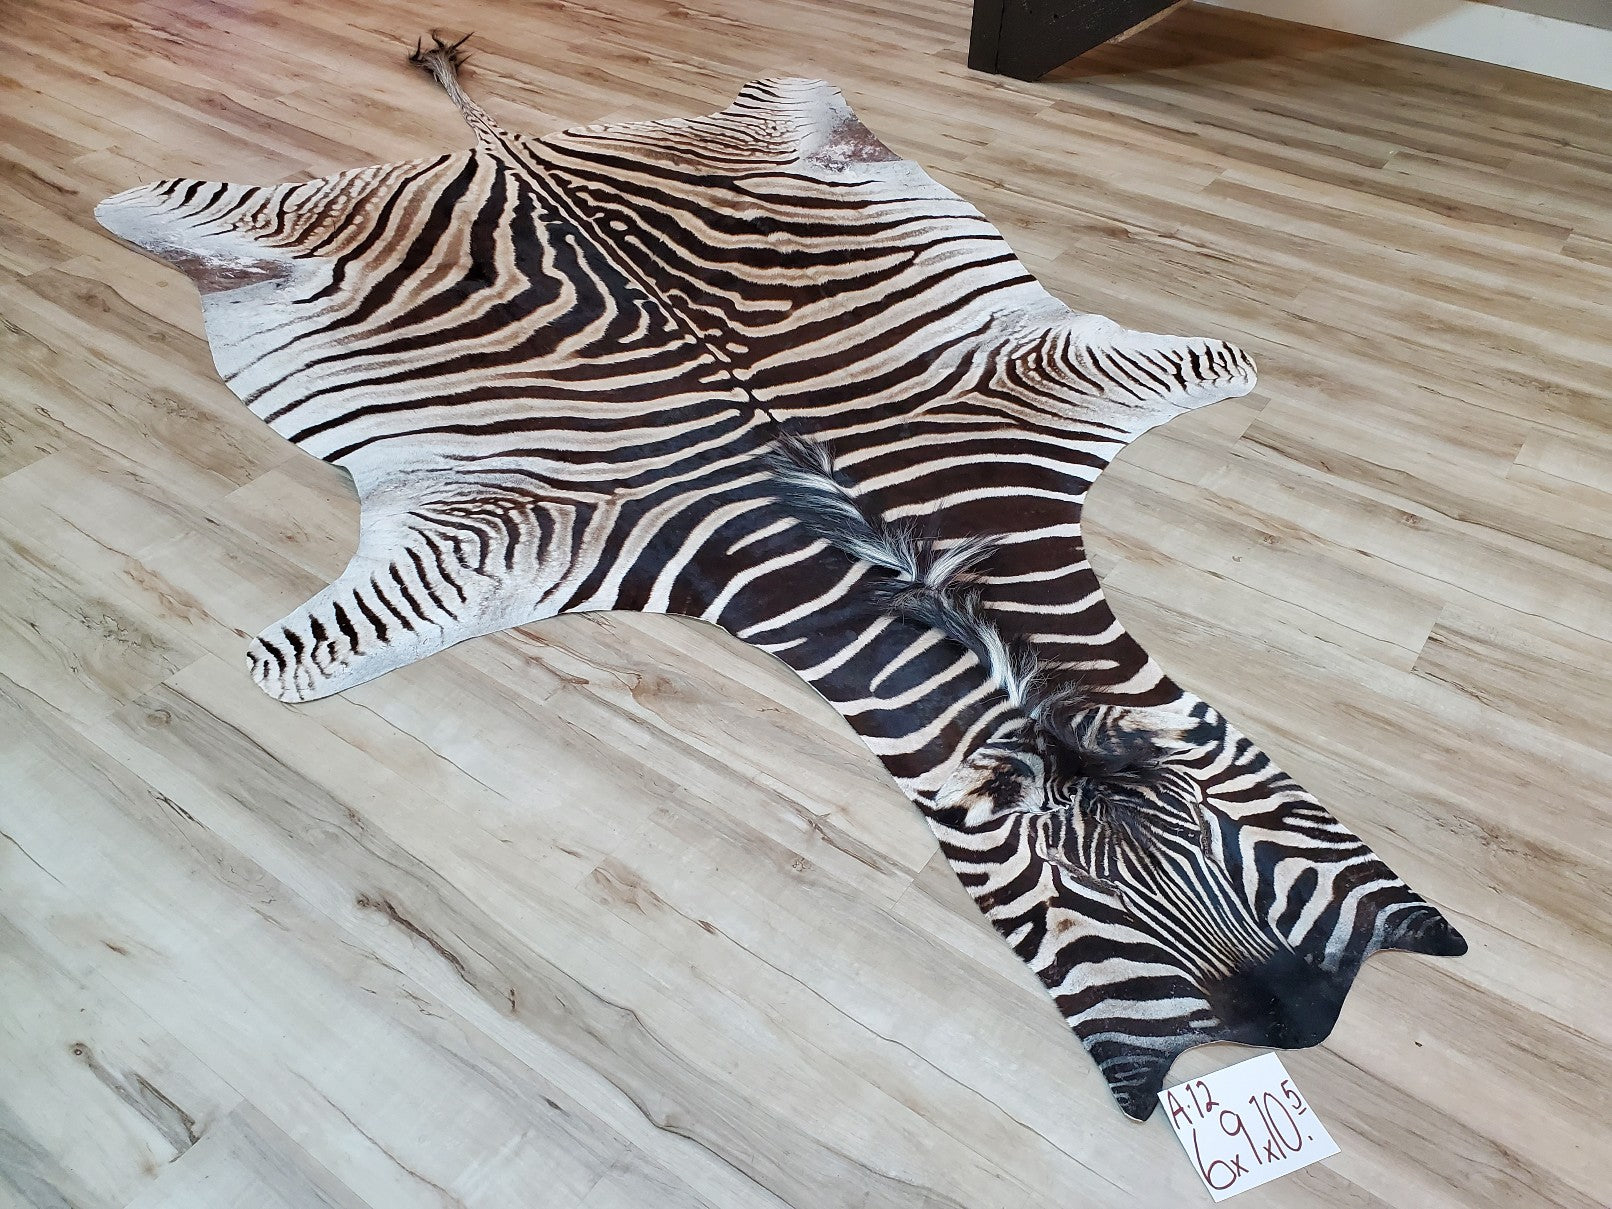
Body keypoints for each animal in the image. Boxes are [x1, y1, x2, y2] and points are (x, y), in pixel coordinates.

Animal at [94, 33, 1466, 1119]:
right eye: (1079, 905)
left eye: (1229, 842)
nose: (1303, 1022)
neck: (907, 563)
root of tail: (511, 147)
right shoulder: (514, 539)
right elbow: (297, 661)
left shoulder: (1050, 387)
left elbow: (1215, 359)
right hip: (271, 229)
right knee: (180, 213)